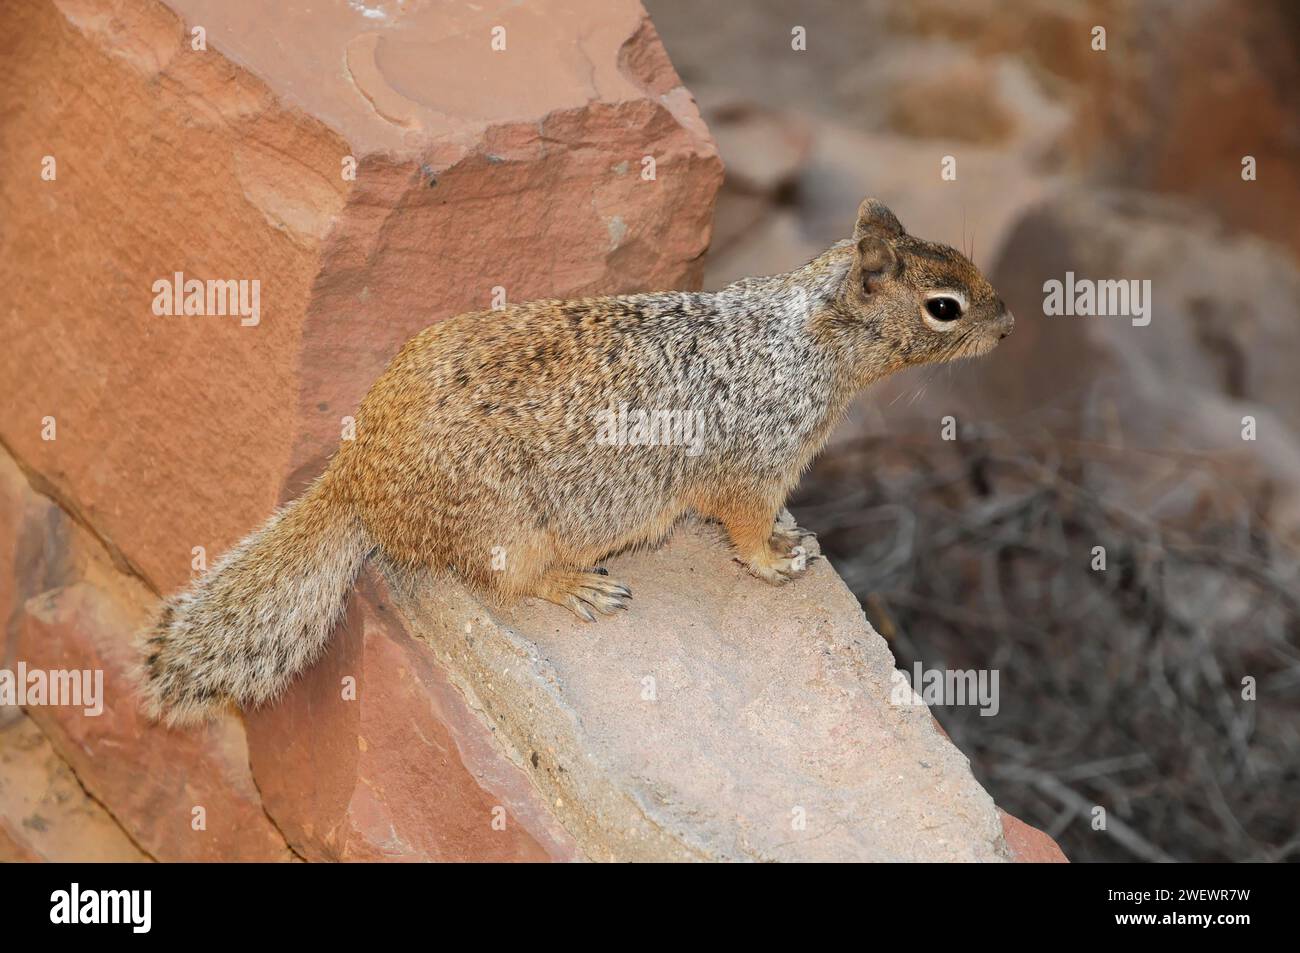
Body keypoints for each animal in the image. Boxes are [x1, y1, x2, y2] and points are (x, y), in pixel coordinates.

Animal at [137, 198, 1013, 725]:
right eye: (944, 307)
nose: (1008, 325)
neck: (809, 337)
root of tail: (359, 474)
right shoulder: (754, 467)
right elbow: (746, 528)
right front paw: (777, 556)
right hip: (508, 532)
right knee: (510, 582)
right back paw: (579, 585)